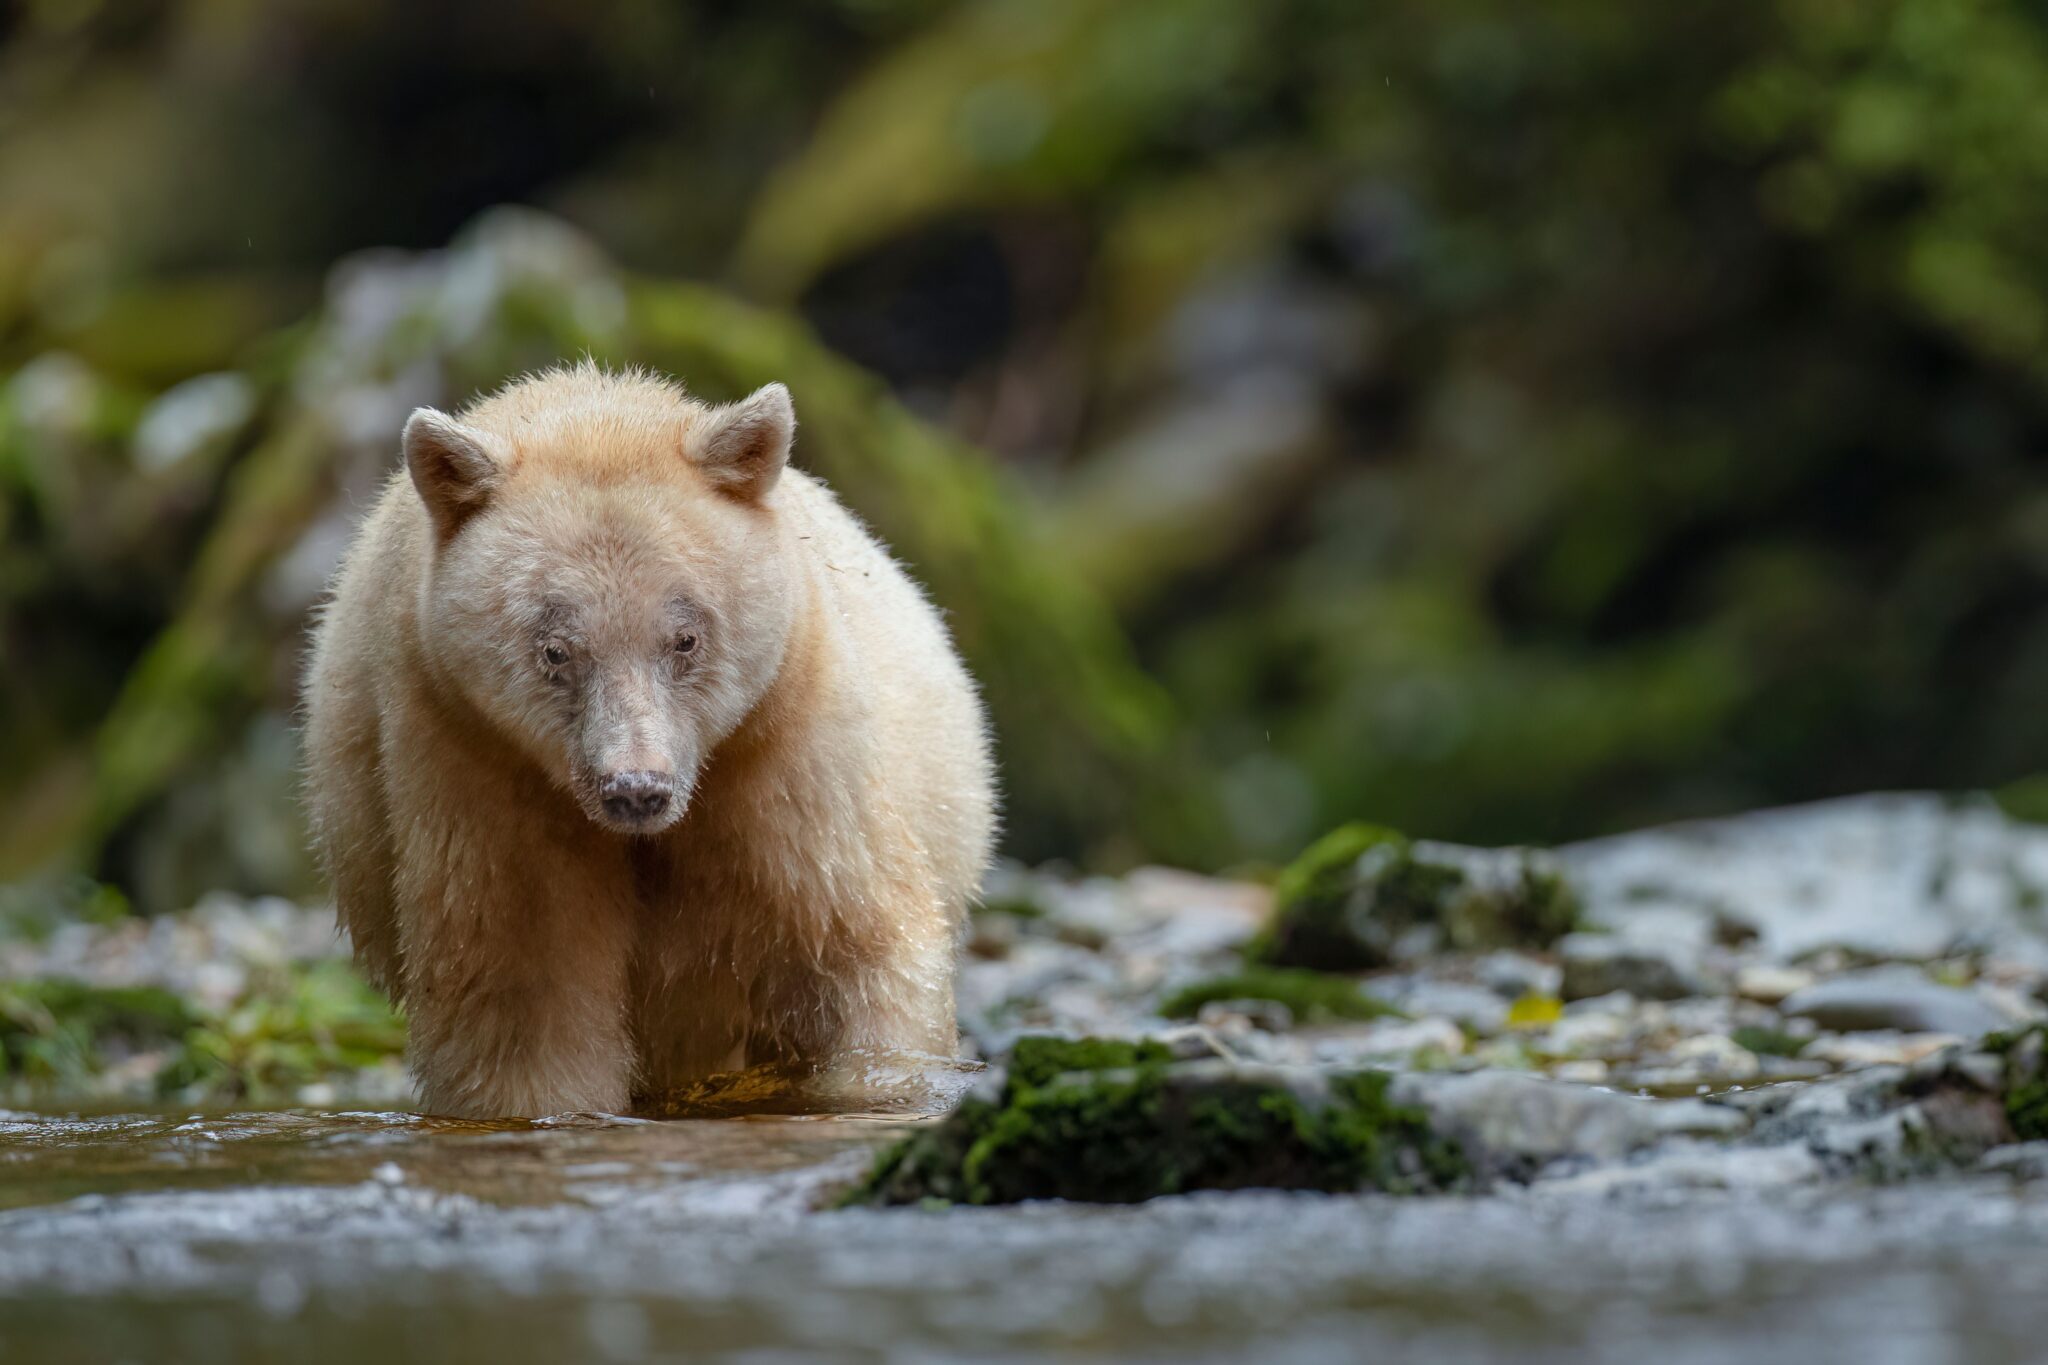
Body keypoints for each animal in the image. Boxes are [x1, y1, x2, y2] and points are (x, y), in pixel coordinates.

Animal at [301, 364, 997, 1118]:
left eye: (685, 638)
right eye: (556, 650)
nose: (637, 789)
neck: (596, 416)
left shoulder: (784, 739)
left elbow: (853, 935)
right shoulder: (470, 752)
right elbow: (528, 987)